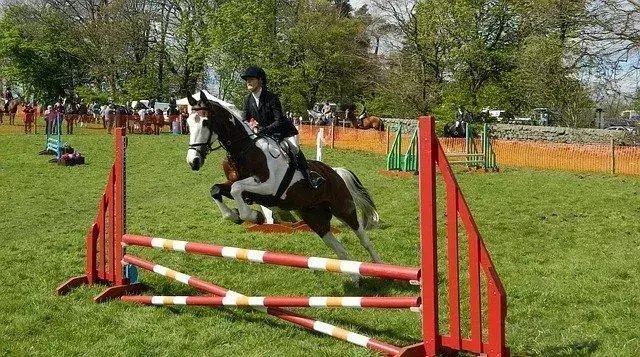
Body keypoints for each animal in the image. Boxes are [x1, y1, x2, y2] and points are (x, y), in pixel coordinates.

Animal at [182, 89, 382, 280]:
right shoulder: (237, 184)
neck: (244, 150)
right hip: (314, 218)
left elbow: (236, 188)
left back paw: (379, 266)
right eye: (189, 123)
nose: (193, 161)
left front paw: (252, 216)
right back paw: (354, 277)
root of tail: (335, 172)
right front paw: (233, 215)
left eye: (206, 123)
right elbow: (217, 189)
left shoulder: (268, 186)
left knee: (363, 237)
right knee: (339, 249)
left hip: (343, 208)